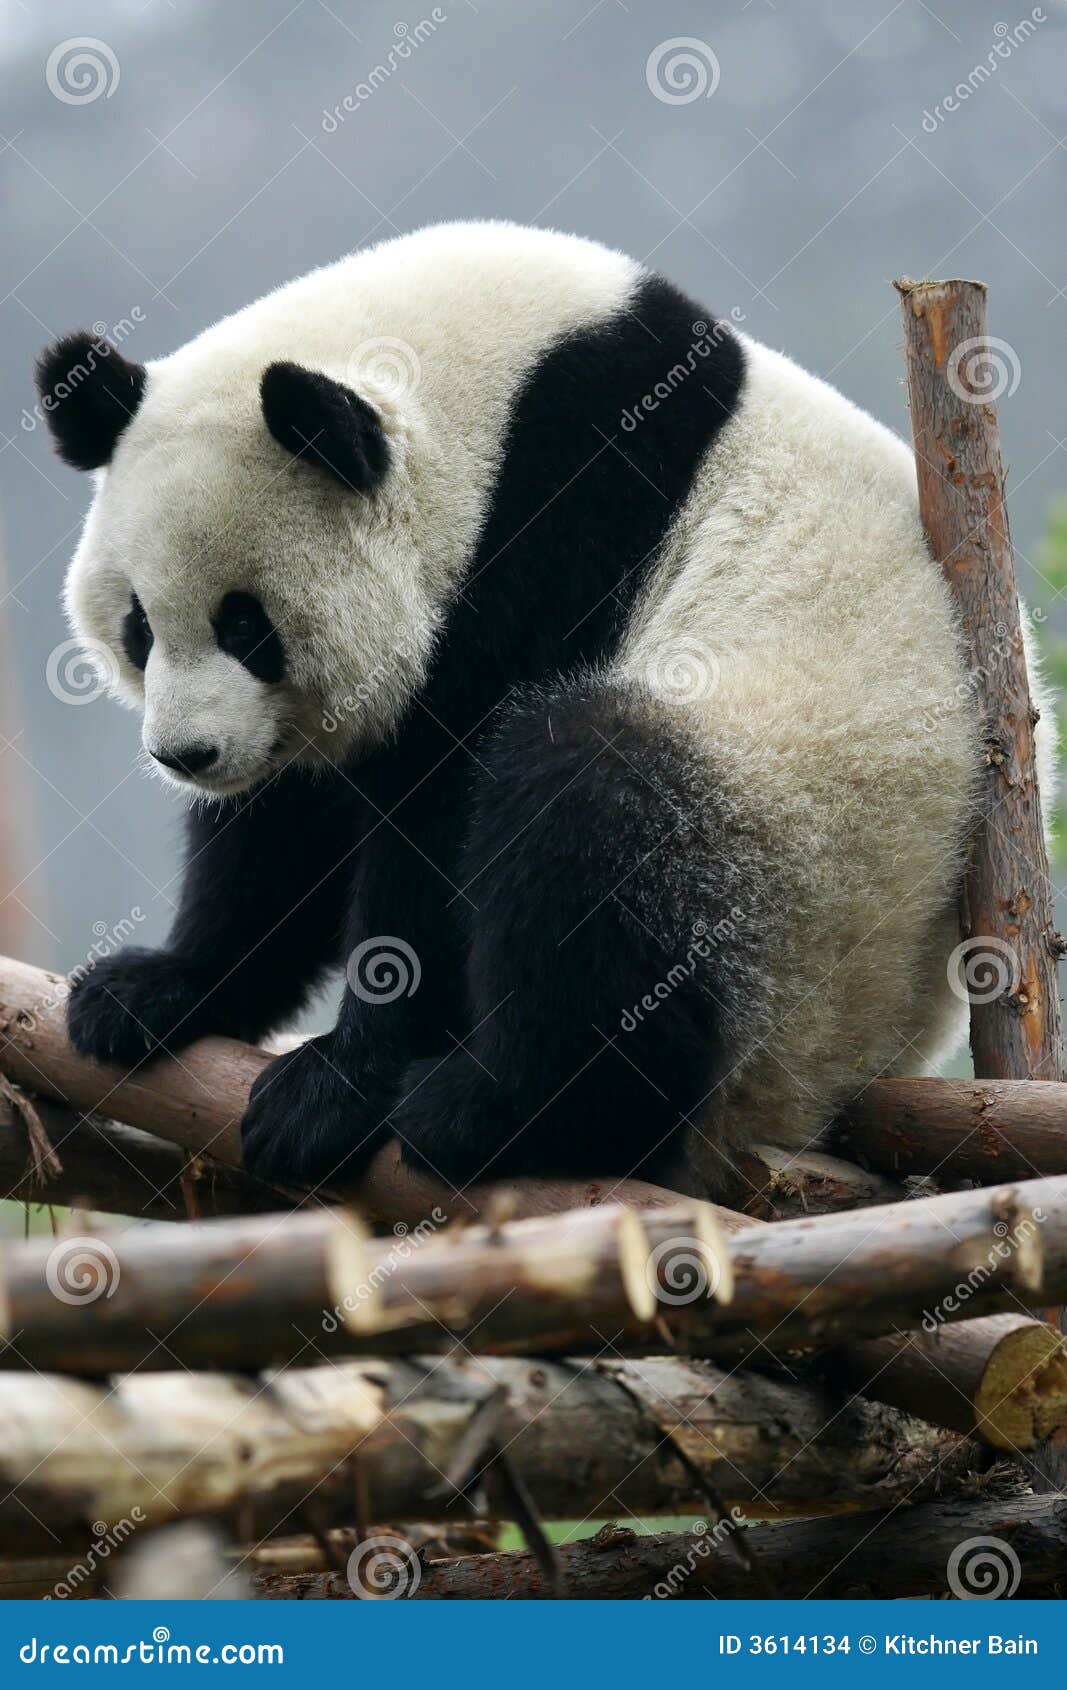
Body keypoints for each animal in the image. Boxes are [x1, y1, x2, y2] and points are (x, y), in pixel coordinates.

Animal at [34, 219, 1048, 1204]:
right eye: (139, 625)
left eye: (246, 624)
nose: (187, 754)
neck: (487, 393)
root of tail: (812, 1108)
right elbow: (290, 822)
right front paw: (157, 990)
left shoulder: (558, 525)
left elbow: (442, 818)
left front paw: (331, 1088)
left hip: (791, 882)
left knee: (586, 803)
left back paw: (496, 1111)